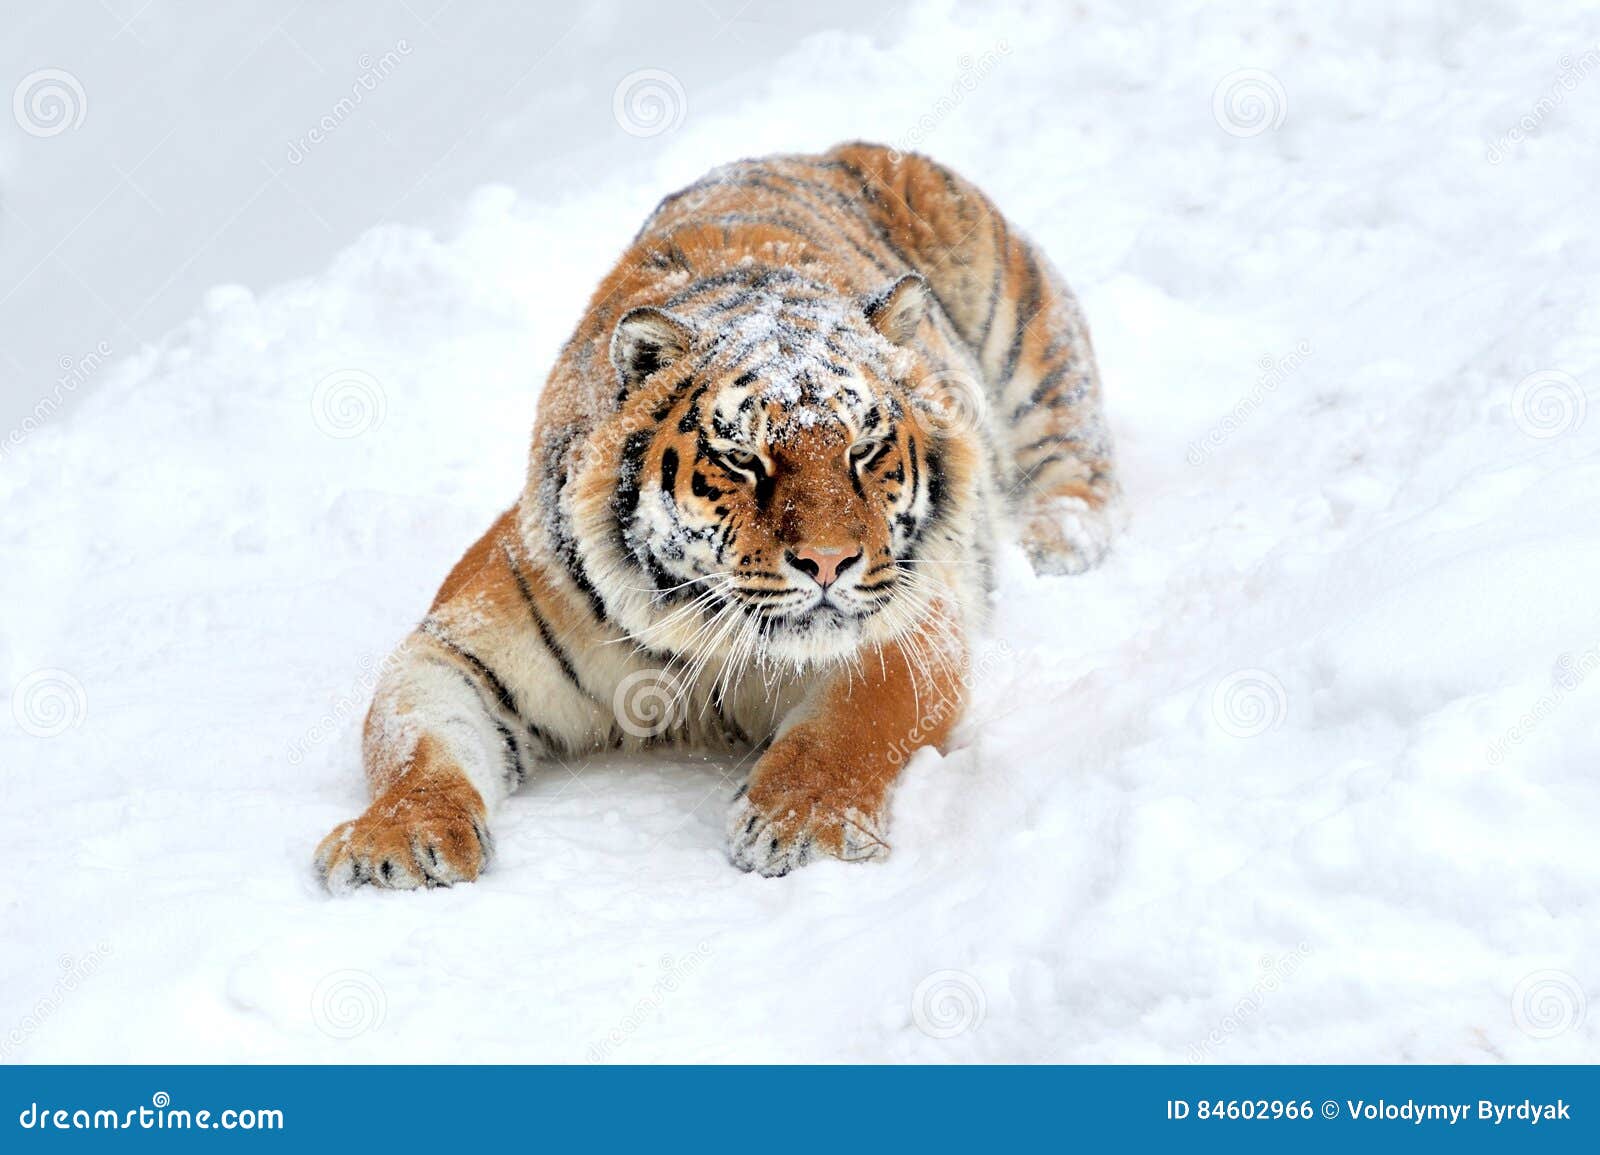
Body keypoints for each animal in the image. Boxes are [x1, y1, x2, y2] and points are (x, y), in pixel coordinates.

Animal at [313, 141, 1119, 888]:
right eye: (742, 458)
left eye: (863, 449)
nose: (829, 562)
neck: (698, 633)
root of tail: (817, 149)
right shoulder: (461, 643)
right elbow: (417, 739)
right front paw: (400, 841)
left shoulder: (910, 625)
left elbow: (850, 728)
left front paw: (802, 824)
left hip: (1026, 334)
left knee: (1073, 447)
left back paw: (1057, 541)